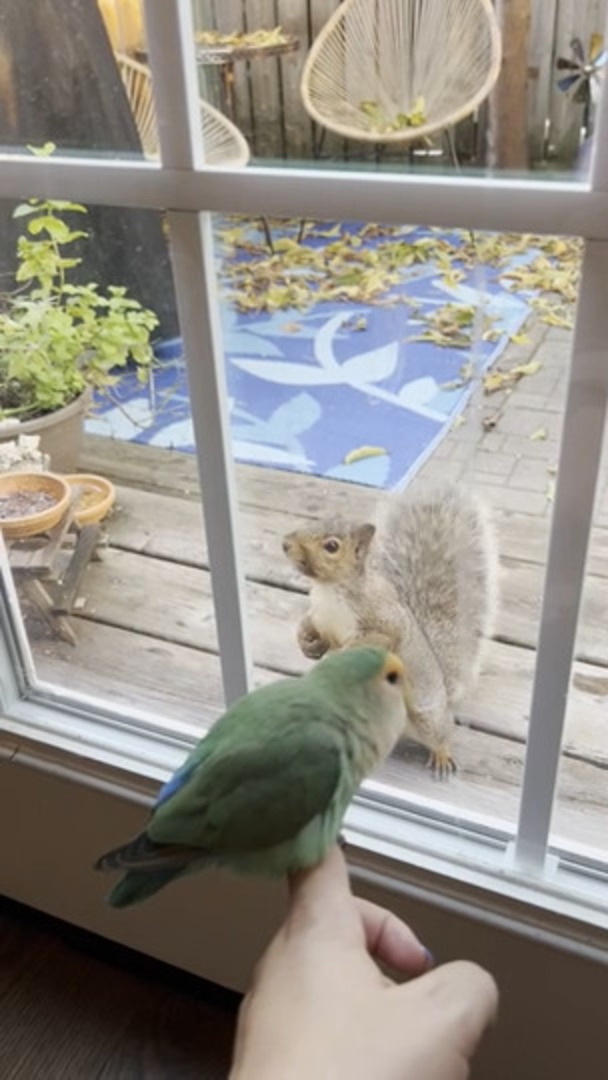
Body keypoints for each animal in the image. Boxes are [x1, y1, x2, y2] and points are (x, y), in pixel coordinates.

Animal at [282, 484, 499, 776]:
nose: (285, 543)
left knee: (443, 733)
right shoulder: (319, 615)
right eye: (313, 521)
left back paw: (442, 754)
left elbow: (377, 639)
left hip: (427, 715)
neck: (328, 590)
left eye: (332, 546)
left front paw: (341, 654)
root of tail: (444, 693)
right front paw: (307, 642)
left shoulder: (384, 620)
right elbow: (308, 624)